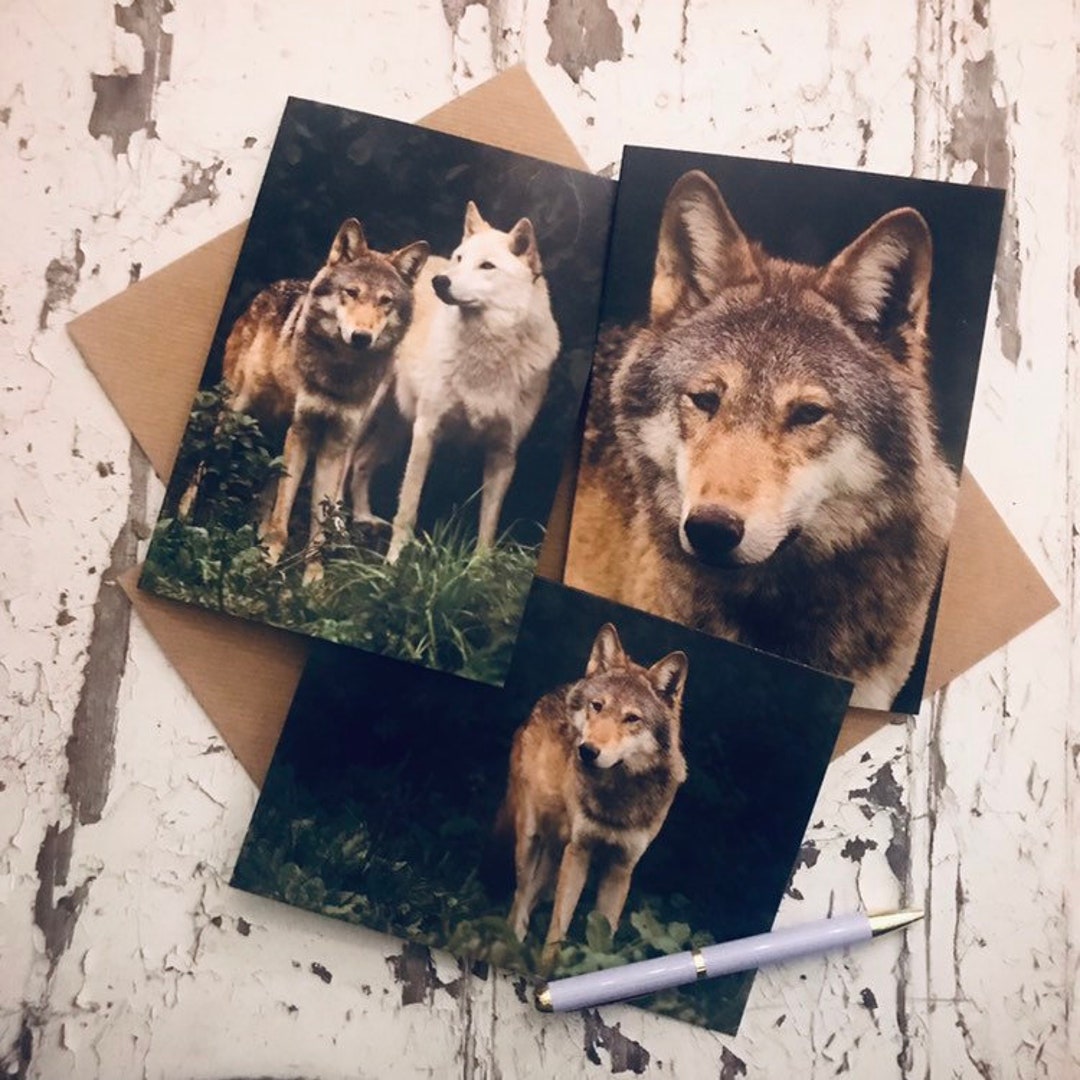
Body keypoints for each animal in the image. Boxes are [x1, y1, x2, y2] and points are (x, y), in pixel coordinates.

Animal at [212, 218, 428, 580]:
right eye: (351, 292)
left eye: (385, 301)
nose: (361, 337)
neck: (339, 376)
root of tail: (268, 289)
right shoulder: (301, 431)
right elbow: (284, 514)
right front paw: (270, 560)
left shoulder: (334, 443)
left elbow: (319, 521)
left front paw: (313, 576)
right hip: (236, 413)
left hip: (275, 433)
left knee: (268, 488)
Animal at [349, 201, 560, 562]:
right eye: (460, 258)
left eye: (487, 266)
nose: (440, 281)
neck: (486, 352)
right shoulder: (426, 432)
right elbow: (408, 510)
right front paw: (393, 563)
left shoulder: (503, 453)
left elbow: (488, 525)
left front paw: (478, 568)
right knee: (343, 461)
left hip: (398, 427)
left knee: (361, 461)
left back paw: (363, 518)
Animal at [500, 623, 688, 947]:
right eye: (597, 706)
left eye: (632, 718)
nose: (587, 751)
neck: (617, 796)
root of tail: (551, 693)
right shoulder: (579, 852)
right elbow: (556, 933)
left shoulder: (621, 868)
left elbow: (604, 937)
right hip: (530, 840)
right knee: (520, 895)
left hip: (554, 858)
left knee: (533, 893)